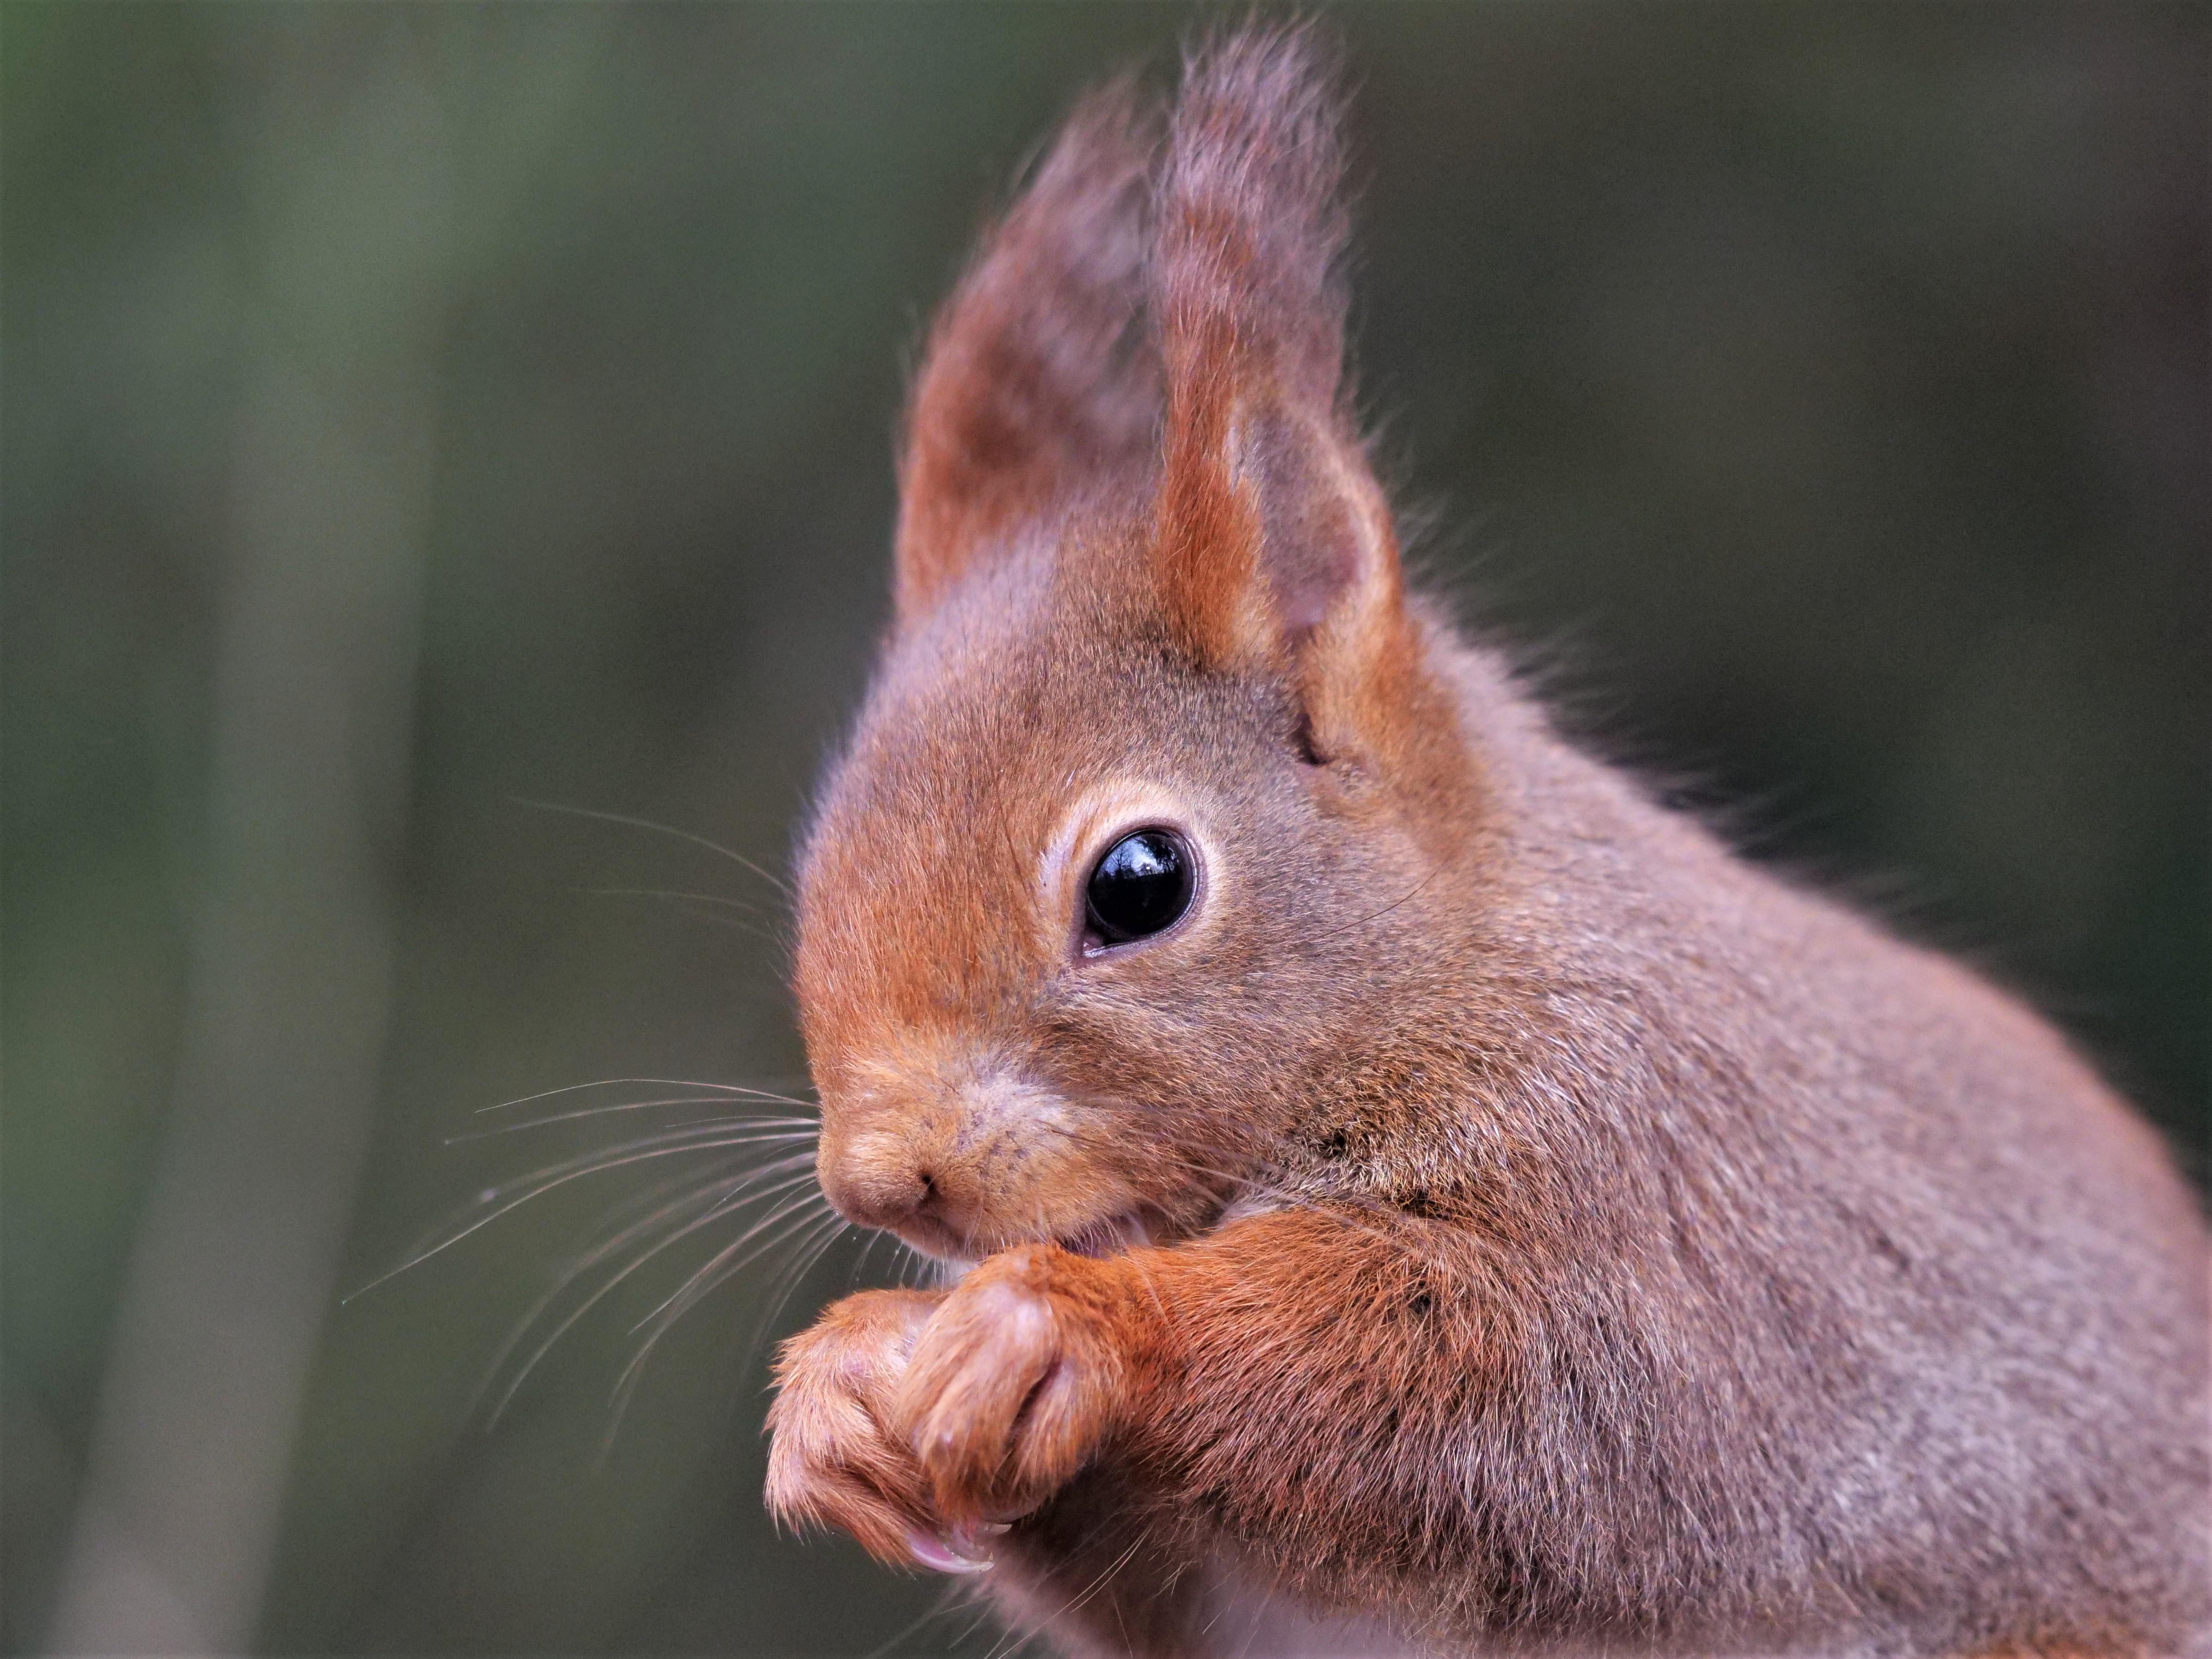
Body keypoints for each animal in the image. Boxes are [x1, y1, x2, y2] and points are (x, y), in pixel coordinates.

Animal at [762, 26, 2208, 1659]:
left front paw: (1066, 1324)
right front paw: (841, 1390)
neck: (1457, 963)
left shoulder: (1660, 1189)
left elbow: (1532, 1403)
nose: (884, 1186)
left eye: (1139, 884)